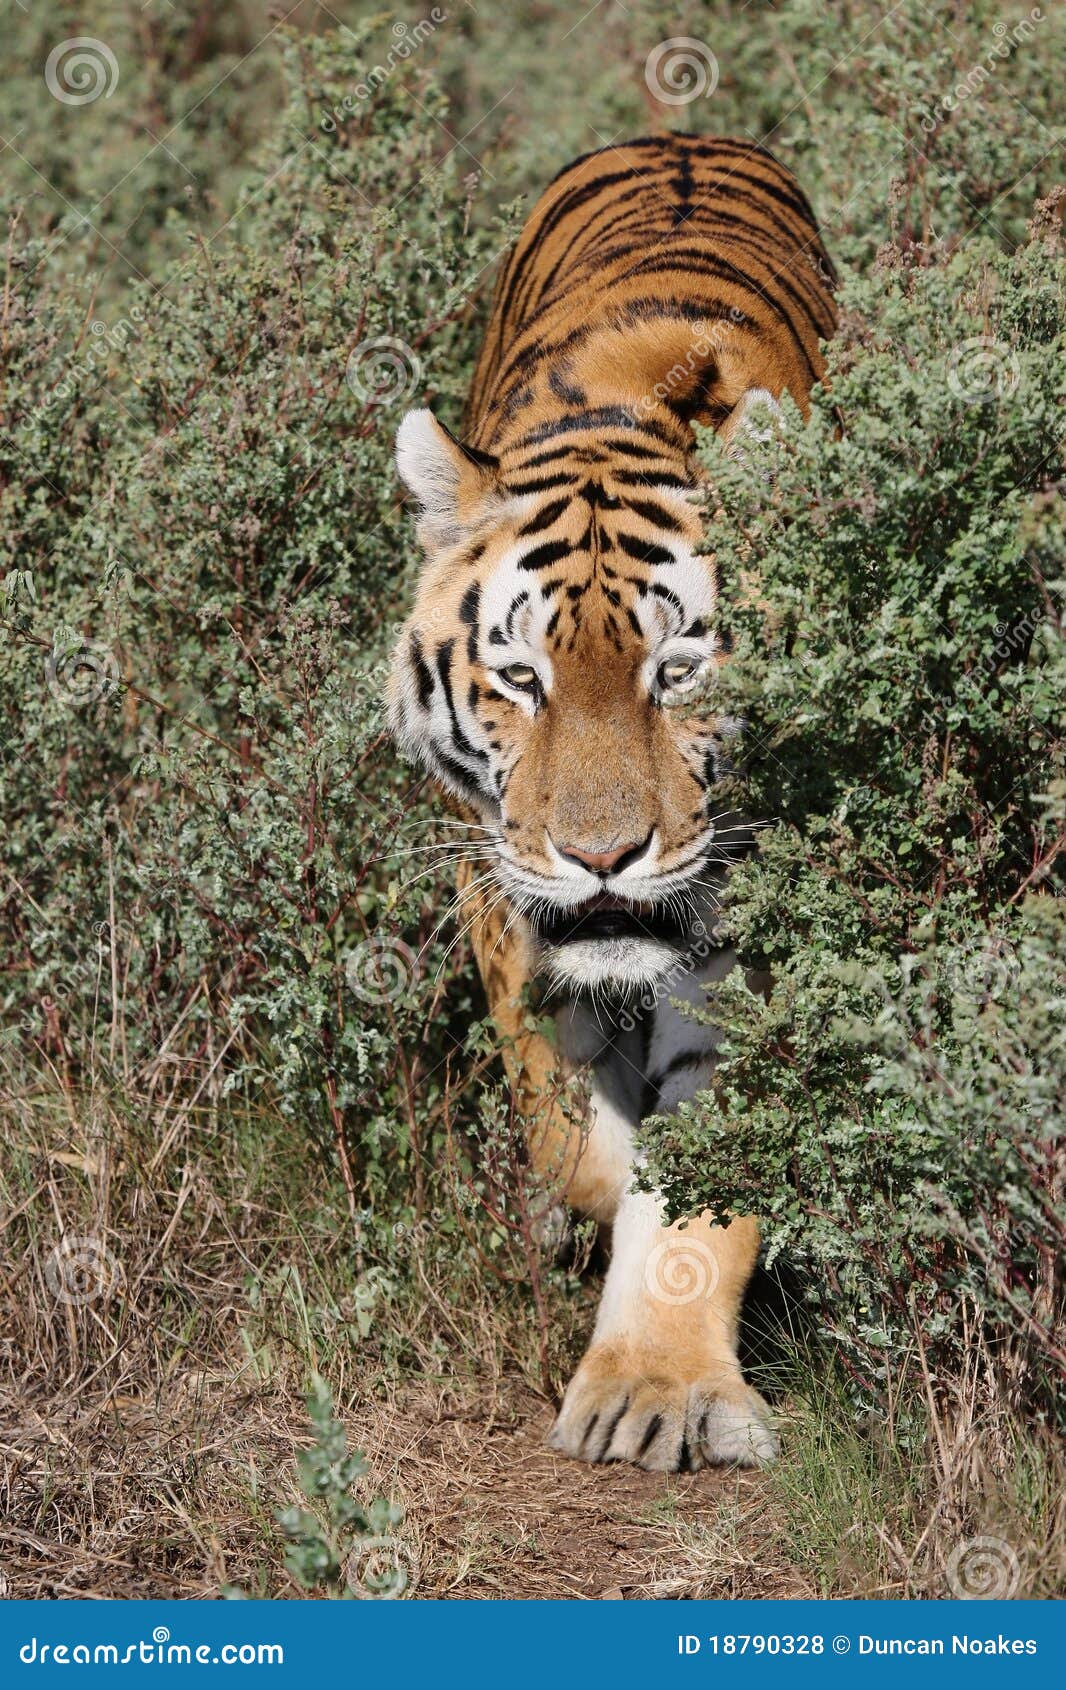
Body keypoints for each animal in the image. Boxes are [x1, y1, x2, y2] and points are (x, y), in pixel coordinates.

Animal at [389, 133, 836, 1471]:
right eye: (522, 678)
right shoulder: (491, 866)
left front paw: (653, 1391)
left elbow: (701, 1173)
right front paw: (580, 1190)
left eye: (675, 670)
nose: (600, 857)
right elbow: (565, 1117)